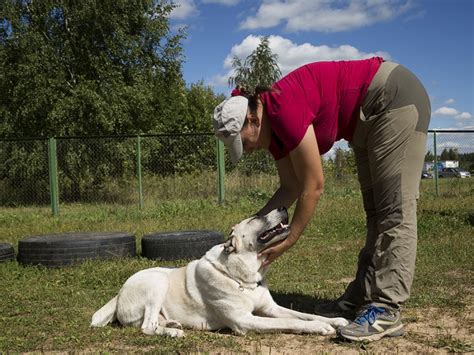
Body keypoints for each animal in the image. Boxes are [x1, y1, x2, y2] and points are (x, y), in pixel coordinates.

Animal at [90, 207, 346, 338]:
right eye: (257, 216)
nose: (283, 207)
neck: (244, 277)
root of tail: (119, 294)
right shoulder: (245, 321)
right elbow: (290, 321)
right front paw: (319, 328)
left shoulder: (270, 309)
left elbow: (304, 314)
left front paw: (335, 320)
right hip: (157, 281)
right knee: (146, 327)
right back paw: (172, 333)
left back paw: (172, 325)